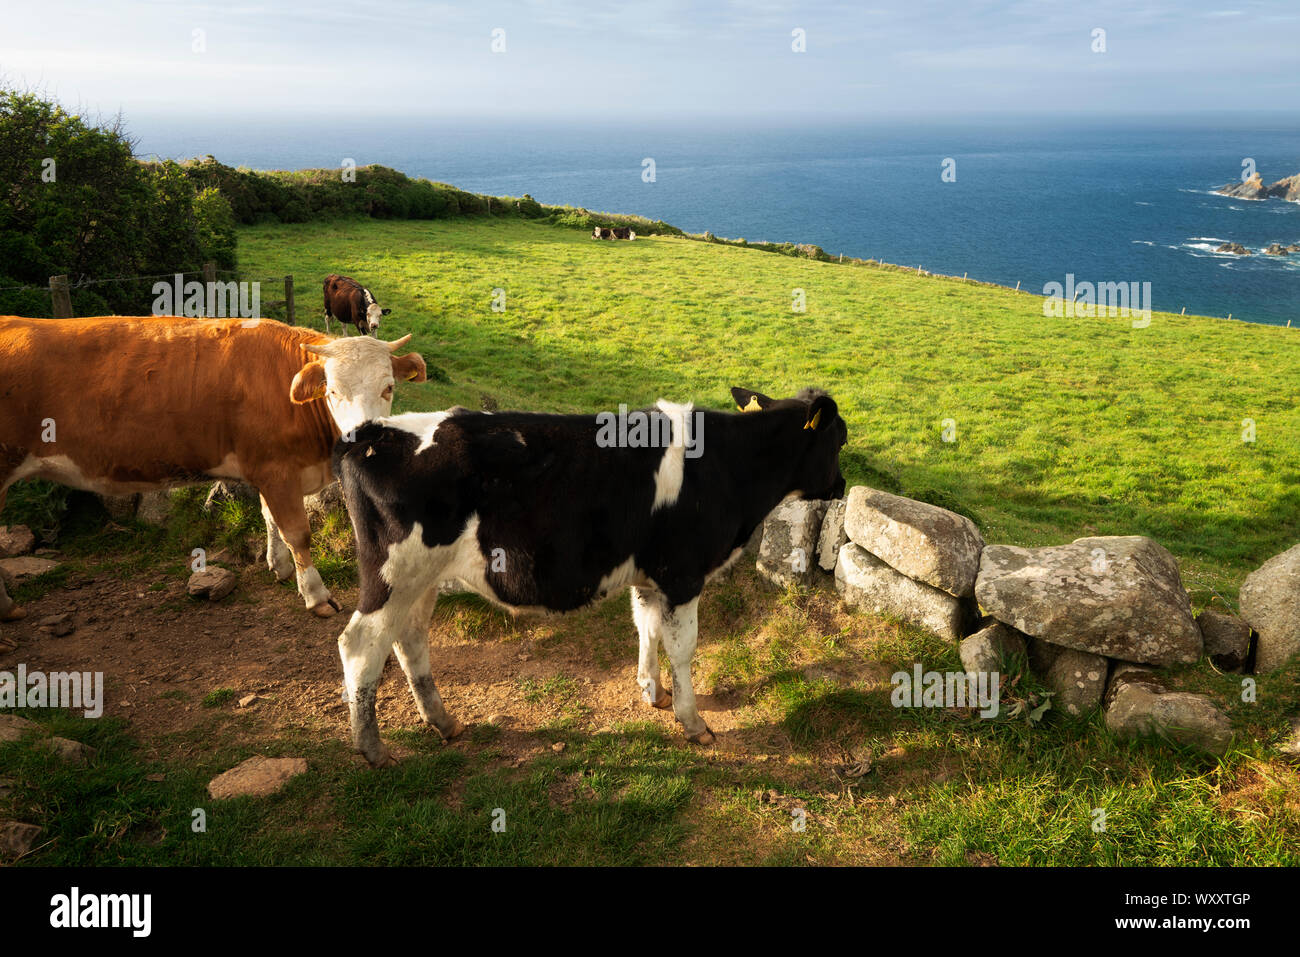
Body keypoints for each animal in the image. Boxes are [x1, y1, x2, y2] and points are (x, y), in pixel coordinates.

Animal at [0, 316, 428, 625]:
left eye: (389, 387)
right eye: (333, 391)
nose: (364, 437)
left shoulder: (270, 471)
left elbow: (269, 519)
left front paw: (279, 566)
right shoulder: (276, 469)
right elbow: (297, 532)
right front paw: (316, 595)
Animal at [330, 386, 846, 766]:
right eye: (839, 440)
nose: (841, 485)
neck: (730, 467)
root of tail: (370, 432)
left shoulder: (649, 576)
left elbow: (646, 628)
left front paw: (651, 691)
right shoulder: (682, 574)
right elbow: (683, 648)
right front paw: (692, 721)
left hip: (421, 579)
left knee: (409, 638)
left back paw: (442, 721)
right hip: (393, 574)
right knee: (360, 645)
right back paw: (373, 749)